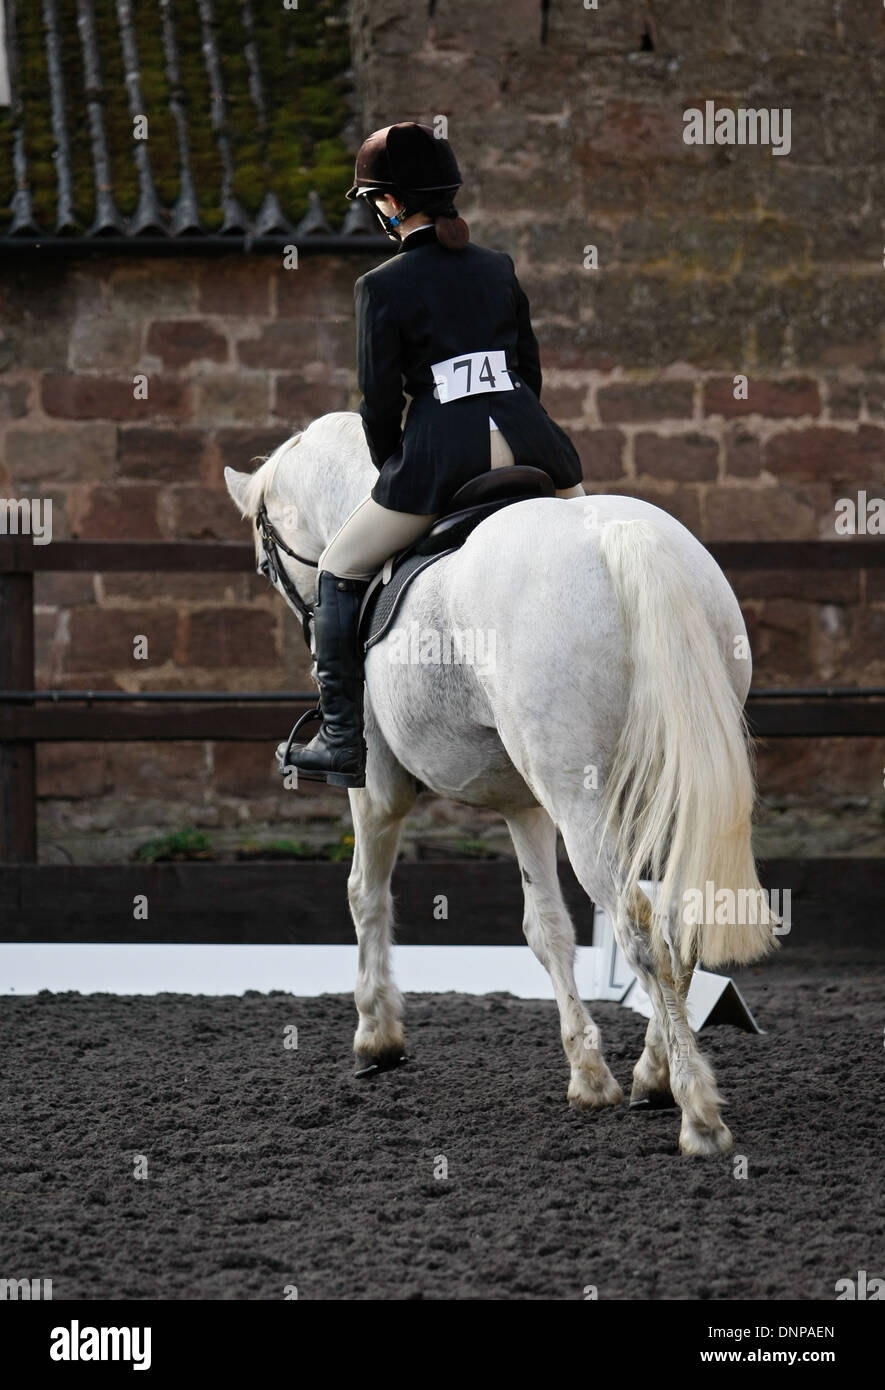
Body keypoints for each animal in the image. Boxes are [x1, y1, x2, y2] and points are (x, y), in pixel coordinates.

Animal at [225, 411, 775, 1157]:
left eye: (264, 555)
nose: (306, 626)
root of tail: (619, 538)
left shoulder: (376, 787)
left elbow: (365, 894)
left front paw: (376, 1039)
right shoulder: (524, 806)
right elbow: (546, 929)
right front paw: (589, 1075)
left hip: (581, 801)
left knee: (638, 928)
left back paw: (697, 1111)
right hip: (650, 791)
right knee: (674, 917)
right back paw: (654, 1076)